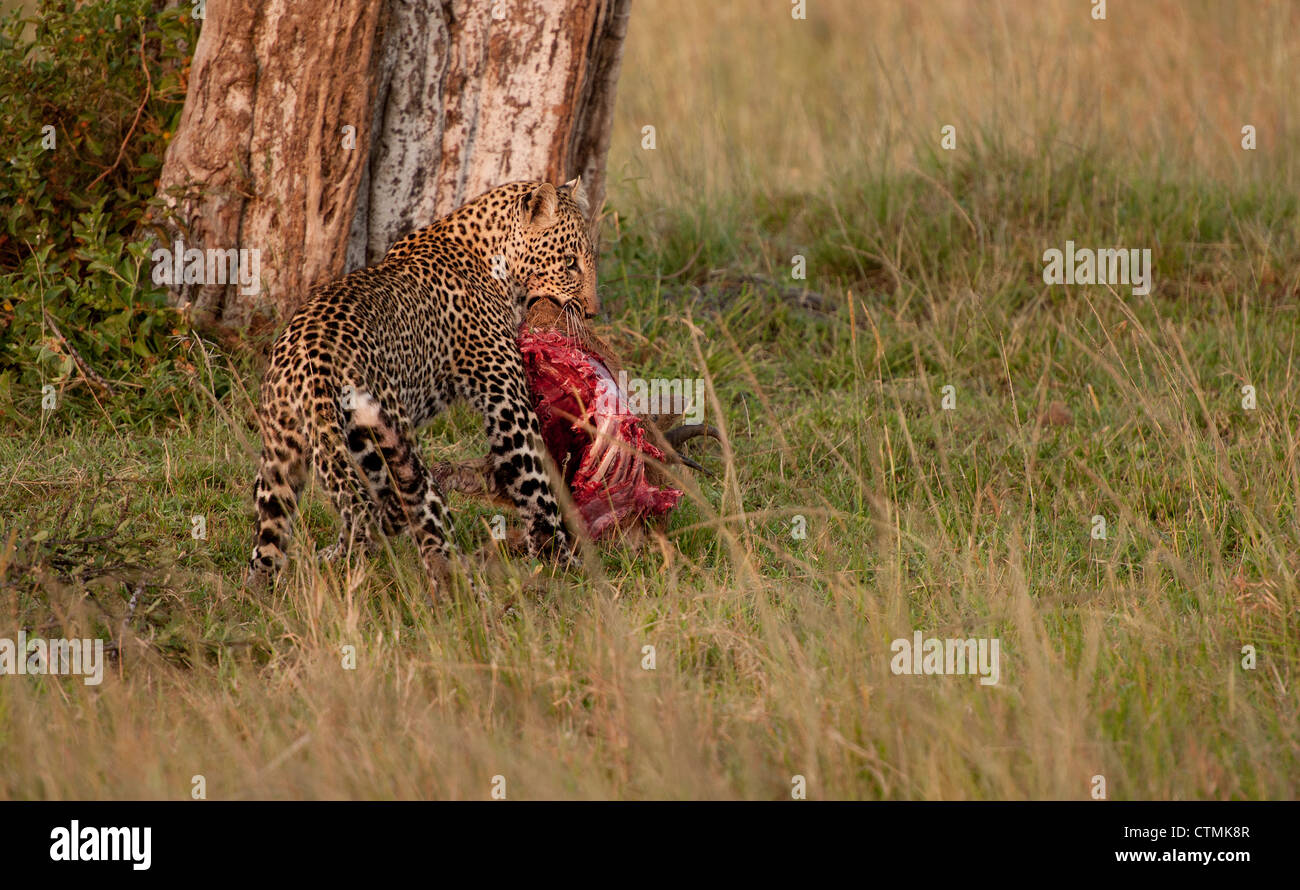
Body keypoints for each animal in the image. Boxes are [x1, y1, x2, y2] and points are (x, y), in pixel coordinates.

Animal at [247, 178, 597, 591]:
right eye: (570, 262)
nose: (592, 311)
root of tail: (309, 366)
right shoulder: (508, 406)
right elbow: (537, 485)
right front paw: (564, 561)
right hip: (391, 447)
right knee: (419, 520)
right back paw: (470, 593)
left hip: (282, 453)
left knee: (275, 535)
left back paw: (264, 589)